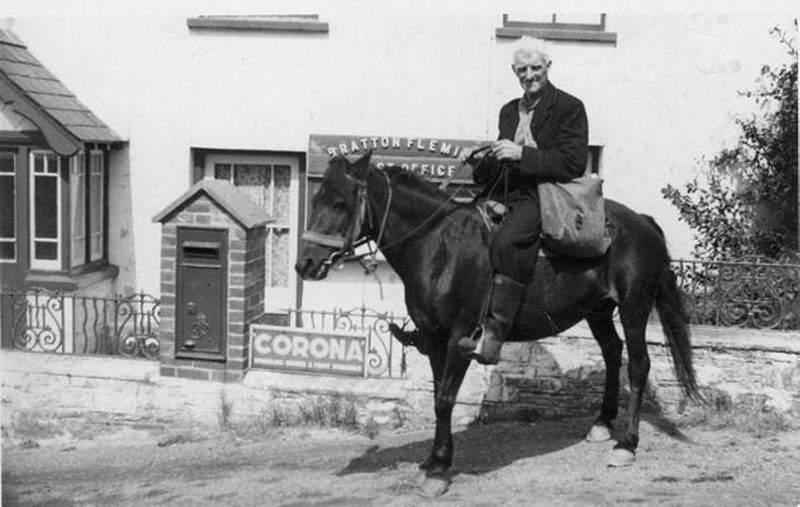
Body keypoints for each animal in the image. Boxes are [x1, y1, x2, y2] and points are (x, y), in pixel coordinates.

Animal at [295, 152, 701, 497]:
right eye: (316, 200)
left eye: (341, 203)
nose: (305, 264)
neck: (438, 248)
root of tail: (642, 222)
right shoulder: (435, 341)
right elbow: (438, 398)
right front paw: (432, 460)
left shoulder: (459, 338)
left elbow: (445, 399)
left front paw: (439, 470)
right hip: (598, 310)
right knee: (613, 353)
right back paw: (602, 424)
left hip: (634, 307)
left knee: (639, 365)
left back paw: (625, 444)